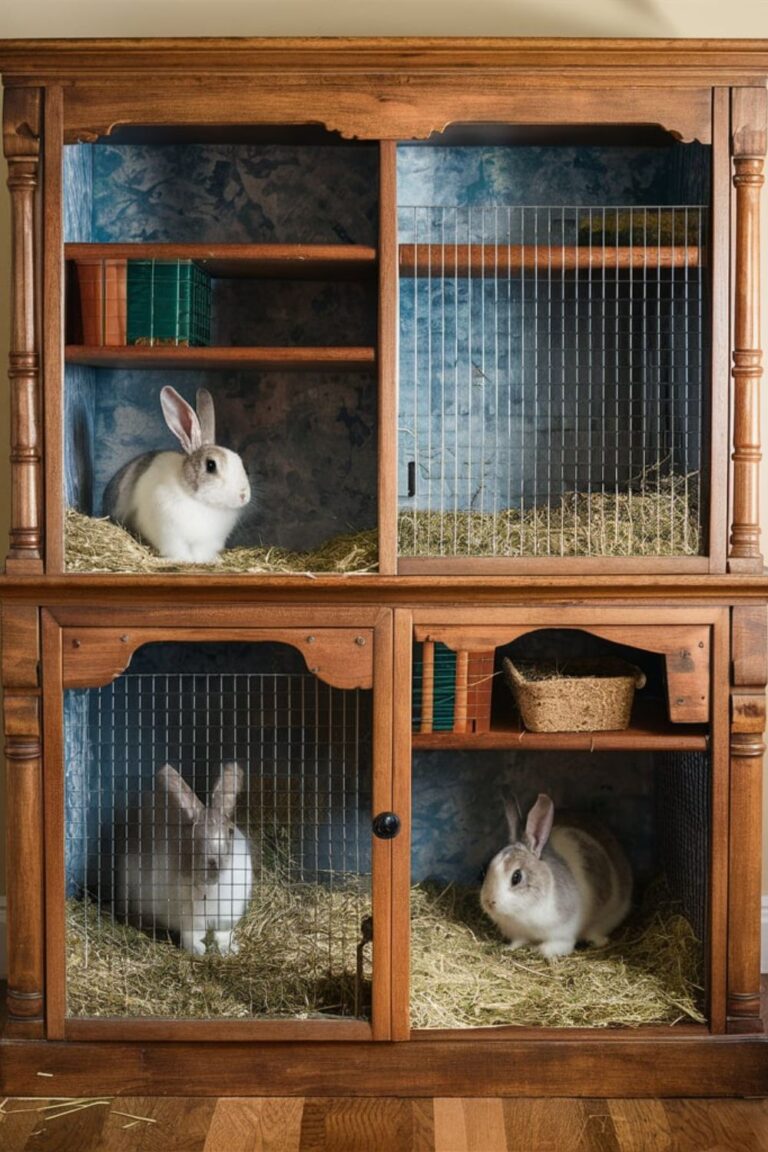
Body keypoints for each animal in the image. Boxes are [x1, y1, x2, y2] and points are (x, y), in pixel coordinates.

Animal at [103, 385, 251, 562]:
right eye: (211, 465)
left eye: (241, 462)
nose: (243, 495)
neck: (200, 502)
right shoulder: (171, 536)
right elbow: (178, 551)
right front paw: (183, 560)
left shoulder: (209, 542)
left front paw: (207, 561)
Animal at [116, 761, 253, 956]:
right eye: (193, 836)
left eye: (230, 831)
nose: (213, 863)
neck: (210, 887)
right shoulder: (189, 918)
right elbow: (192, 936)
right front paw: (198, 951)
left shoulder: (227, 916)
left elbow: (223, 934)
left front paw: (228, 950)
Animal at [479, 793, 632, 959]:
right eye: (487, 867)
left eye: (516, 877)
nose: (489, 902)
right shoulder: (519, 934)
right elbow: (518, 942)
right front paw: (510, 948)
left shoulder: (562, 935)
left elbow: (551, 947)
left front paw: (537, 949)